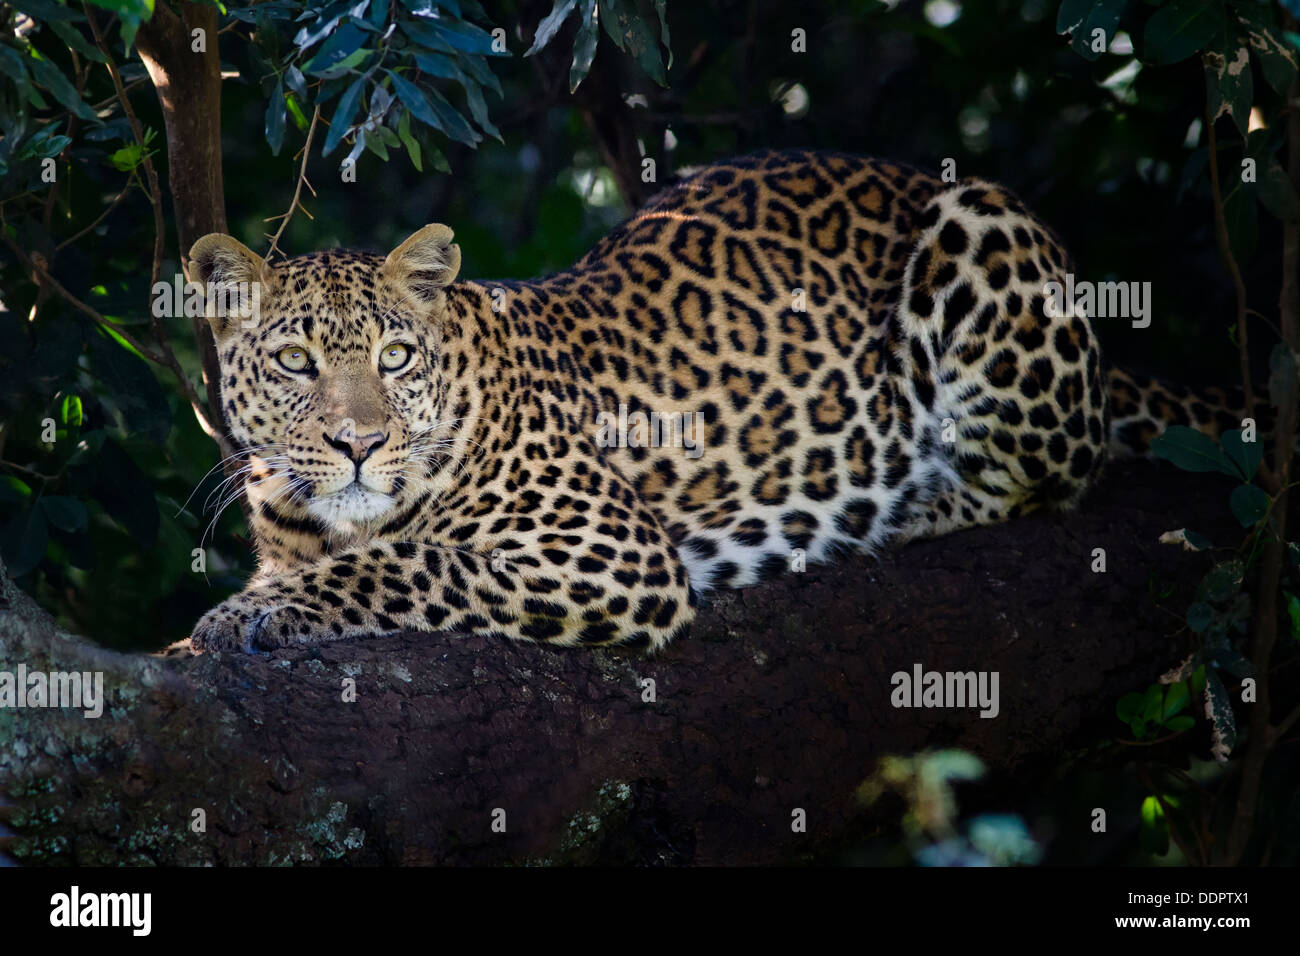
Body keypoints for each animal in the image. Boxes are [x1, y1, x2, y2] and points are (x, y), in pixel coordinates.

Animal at [187, 148, 1247, 654]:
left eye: (397, 357)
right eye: (295, 362)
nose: (359, 444)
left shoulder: (615, 556)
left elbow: (410, 562)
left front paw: (242, 619)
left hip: (979, 229)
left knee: (1050, 472)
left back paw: (902, 509)